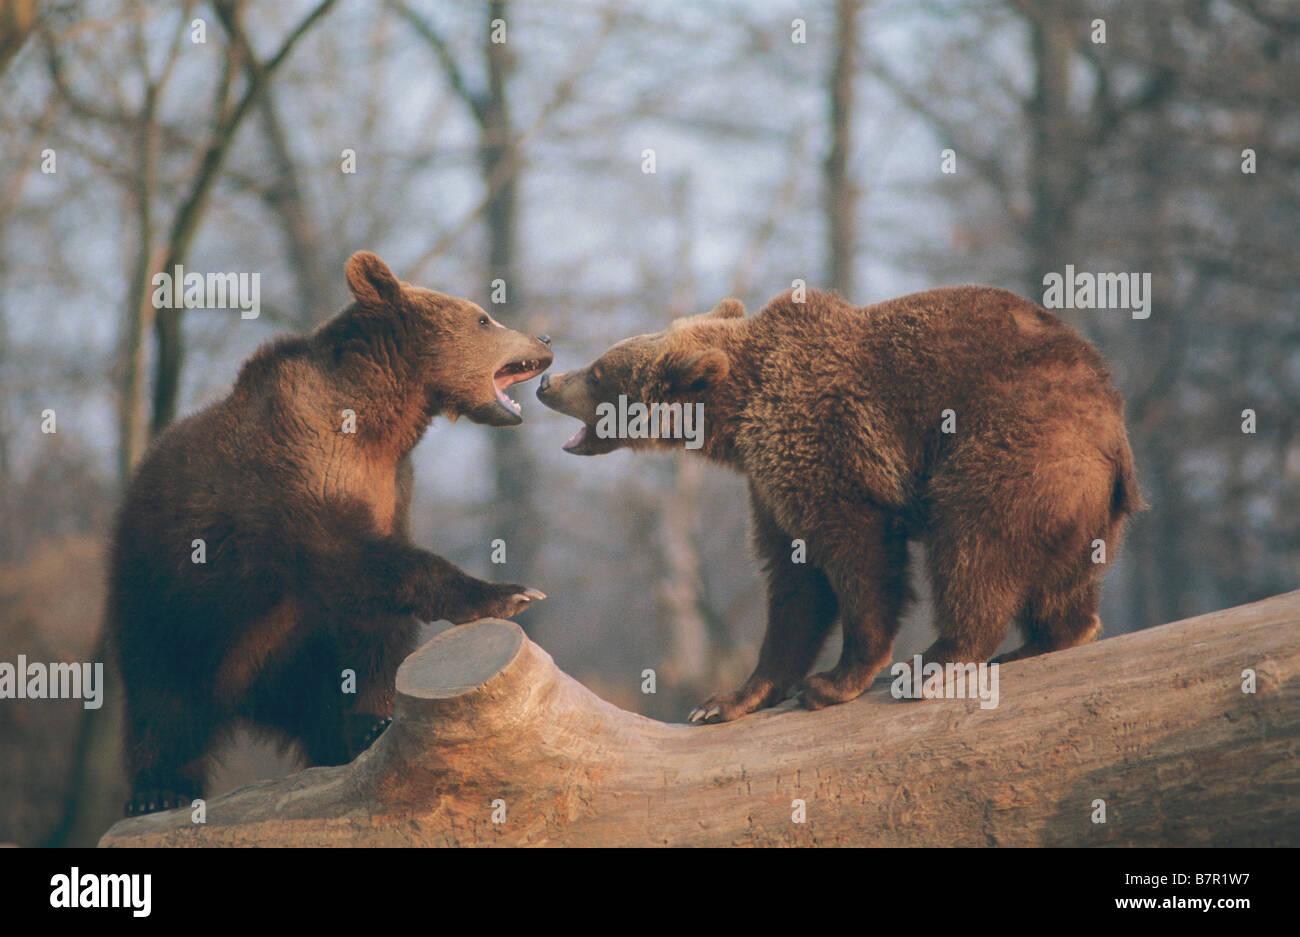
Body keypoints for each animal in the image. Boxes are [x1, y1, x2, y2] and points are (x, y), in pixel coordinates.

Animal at [109, 251, 553, 814]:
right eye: (482, 318)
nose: (544, 339)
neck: (378, 424)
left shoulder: (390, 488)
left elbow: (373, 635)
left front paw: (372, 723)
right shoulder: (299, 477)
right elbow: (360, 564)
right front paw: (508, 593)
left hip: (283, 643)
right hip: (167, 587)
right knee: (162, 692)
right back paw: (157, 789)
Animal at [536, 286, 1143, 723]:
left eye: (598, 372)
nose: (547, 381)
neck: (738, 419)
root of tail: (1114, 423)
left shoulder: (827, 444)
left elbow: (857, 559)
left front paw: (833, 682)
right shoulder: (768, 484)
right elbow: (793, 583)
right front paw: (725, 700)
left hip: (1016, 443)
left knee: (974, 542)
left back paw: (940, 661)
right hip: (1080, 504)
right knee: (1059, 578)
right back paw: (1043, 641)